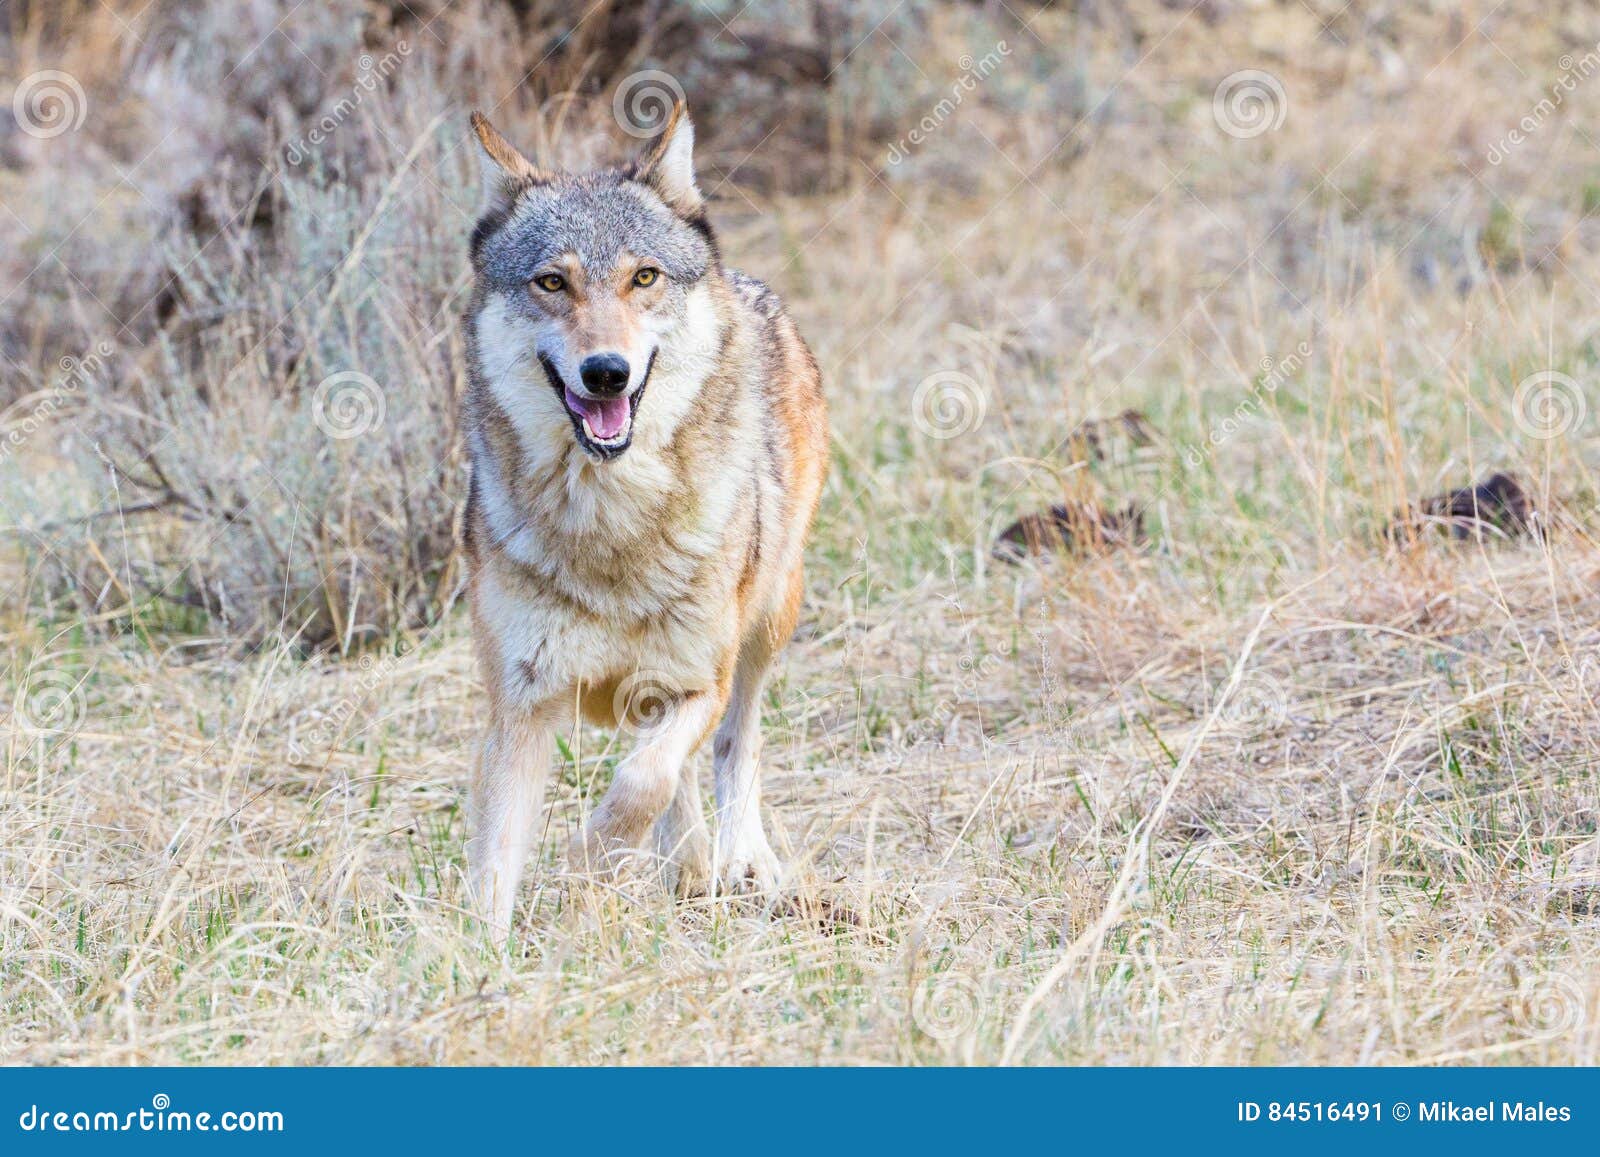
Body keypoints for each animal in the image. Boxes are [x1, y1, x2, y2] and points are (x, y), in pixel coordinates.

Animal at [461, 103, 828, 931]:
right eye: (552, 281)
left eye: (645, 277)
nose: (606, 372)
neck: (612, 531)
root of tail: (748, 284)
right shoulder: (519, 708)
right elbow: (494, 865)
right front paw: (475, 953)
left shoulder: (700, 679)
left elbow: (642, 782)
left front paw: (584, 862)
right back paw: (686, 863)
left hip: (770, 618)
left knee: (733, 744)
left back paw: (740, 859)